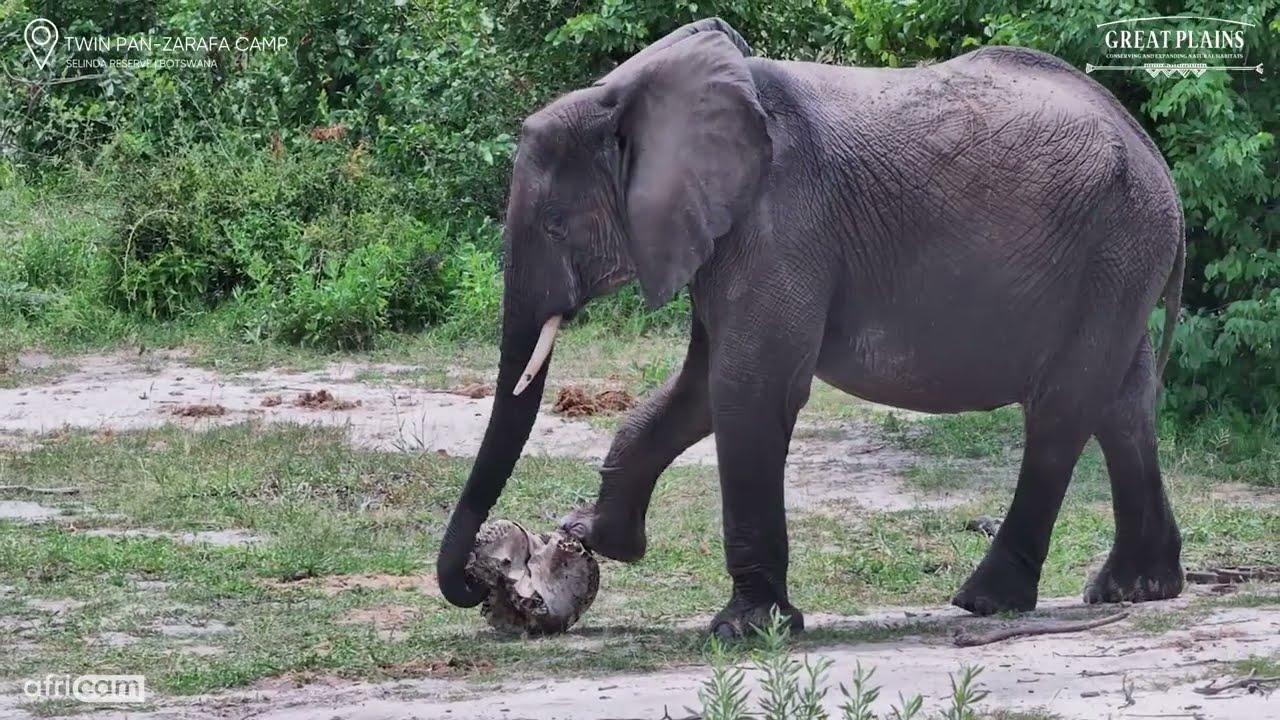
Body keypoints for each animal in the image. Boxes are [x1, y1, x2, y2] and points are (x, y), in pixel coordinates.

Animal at [435, 17, 1187, 639]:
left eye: (556, 226)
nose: (484, 582)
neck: (627, 95)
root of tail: (1152, 151)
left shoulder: (782, 222)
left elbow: (748, 389)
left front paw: (746, 631)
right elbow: (698, 391)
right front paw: (598, 535)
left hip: (1116, 243)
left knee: (1063, 409)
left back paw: (985, 600)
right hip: (1122, 256)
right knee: (1123, 404)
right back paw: (1137, 587)